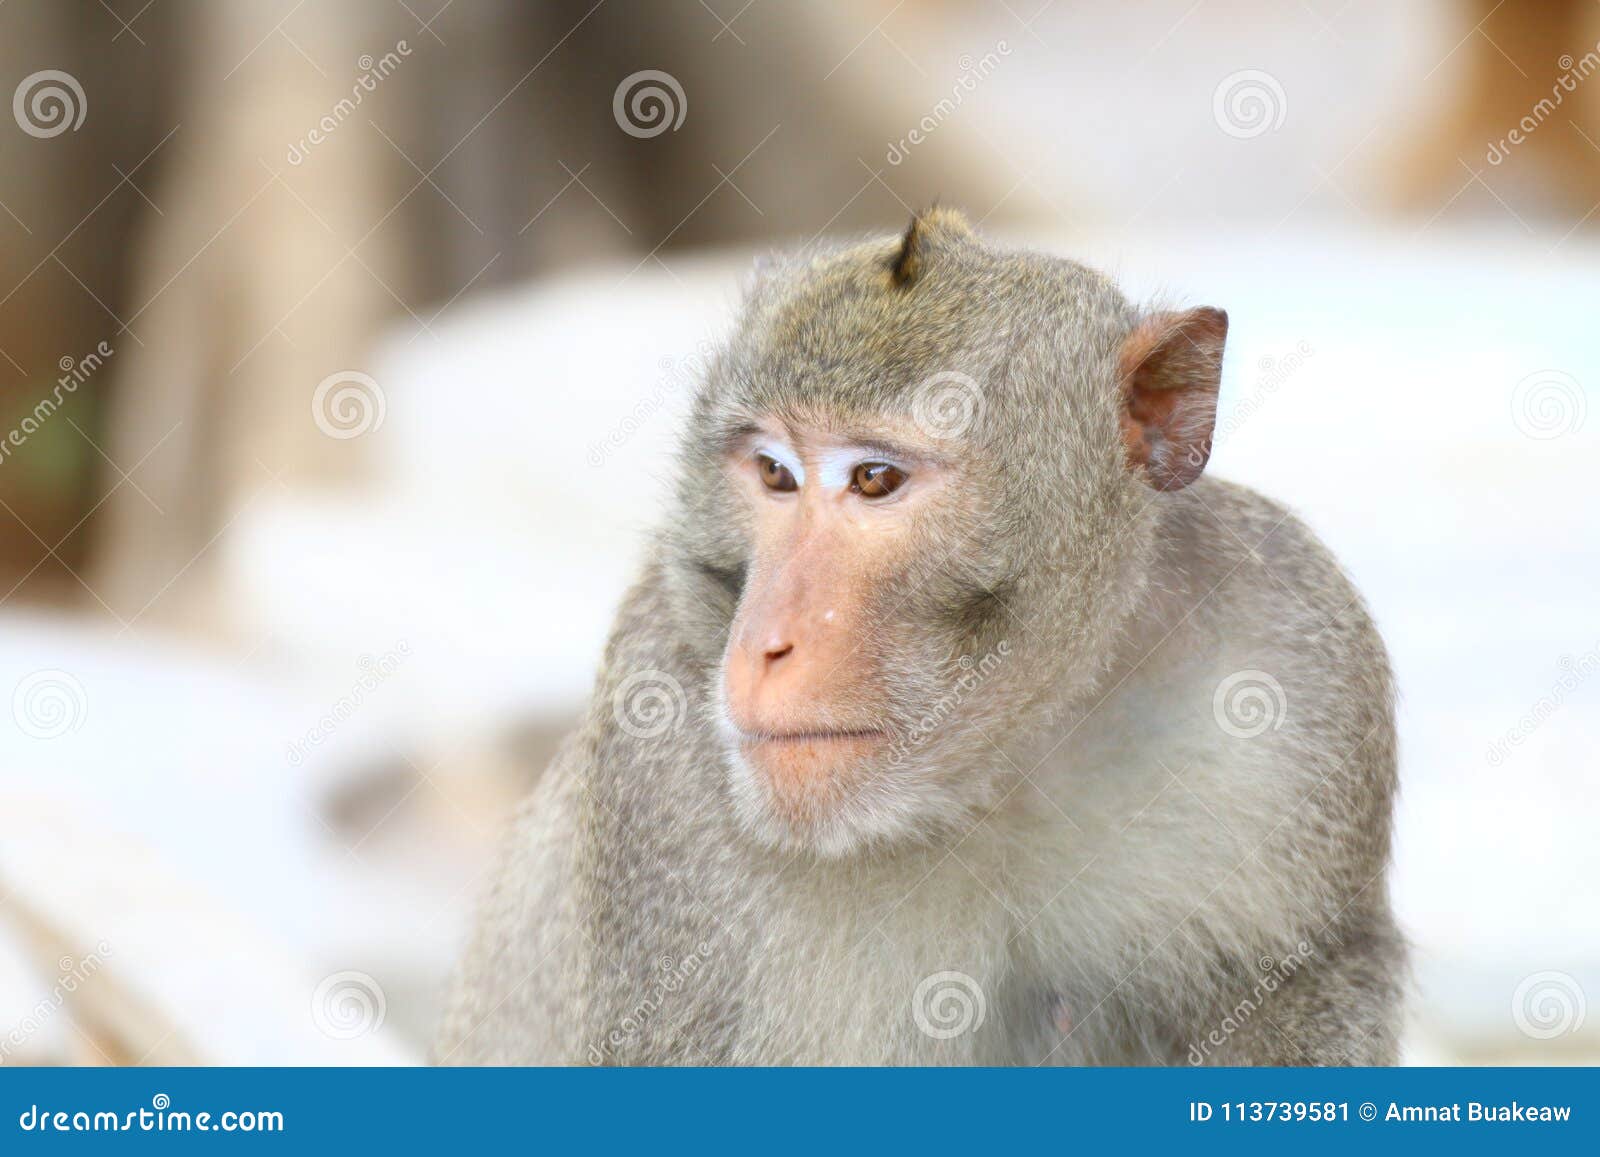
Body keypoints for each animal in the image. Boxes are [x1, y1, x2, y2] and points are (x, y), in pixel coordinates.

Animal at [435, 208, 1404, 1066]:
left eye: (874, 478)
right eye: (774, 472)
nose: (763, 644)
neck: (996, 770)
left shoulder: (1294, 656)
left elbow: (1306, 980)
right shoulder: (661, 764)